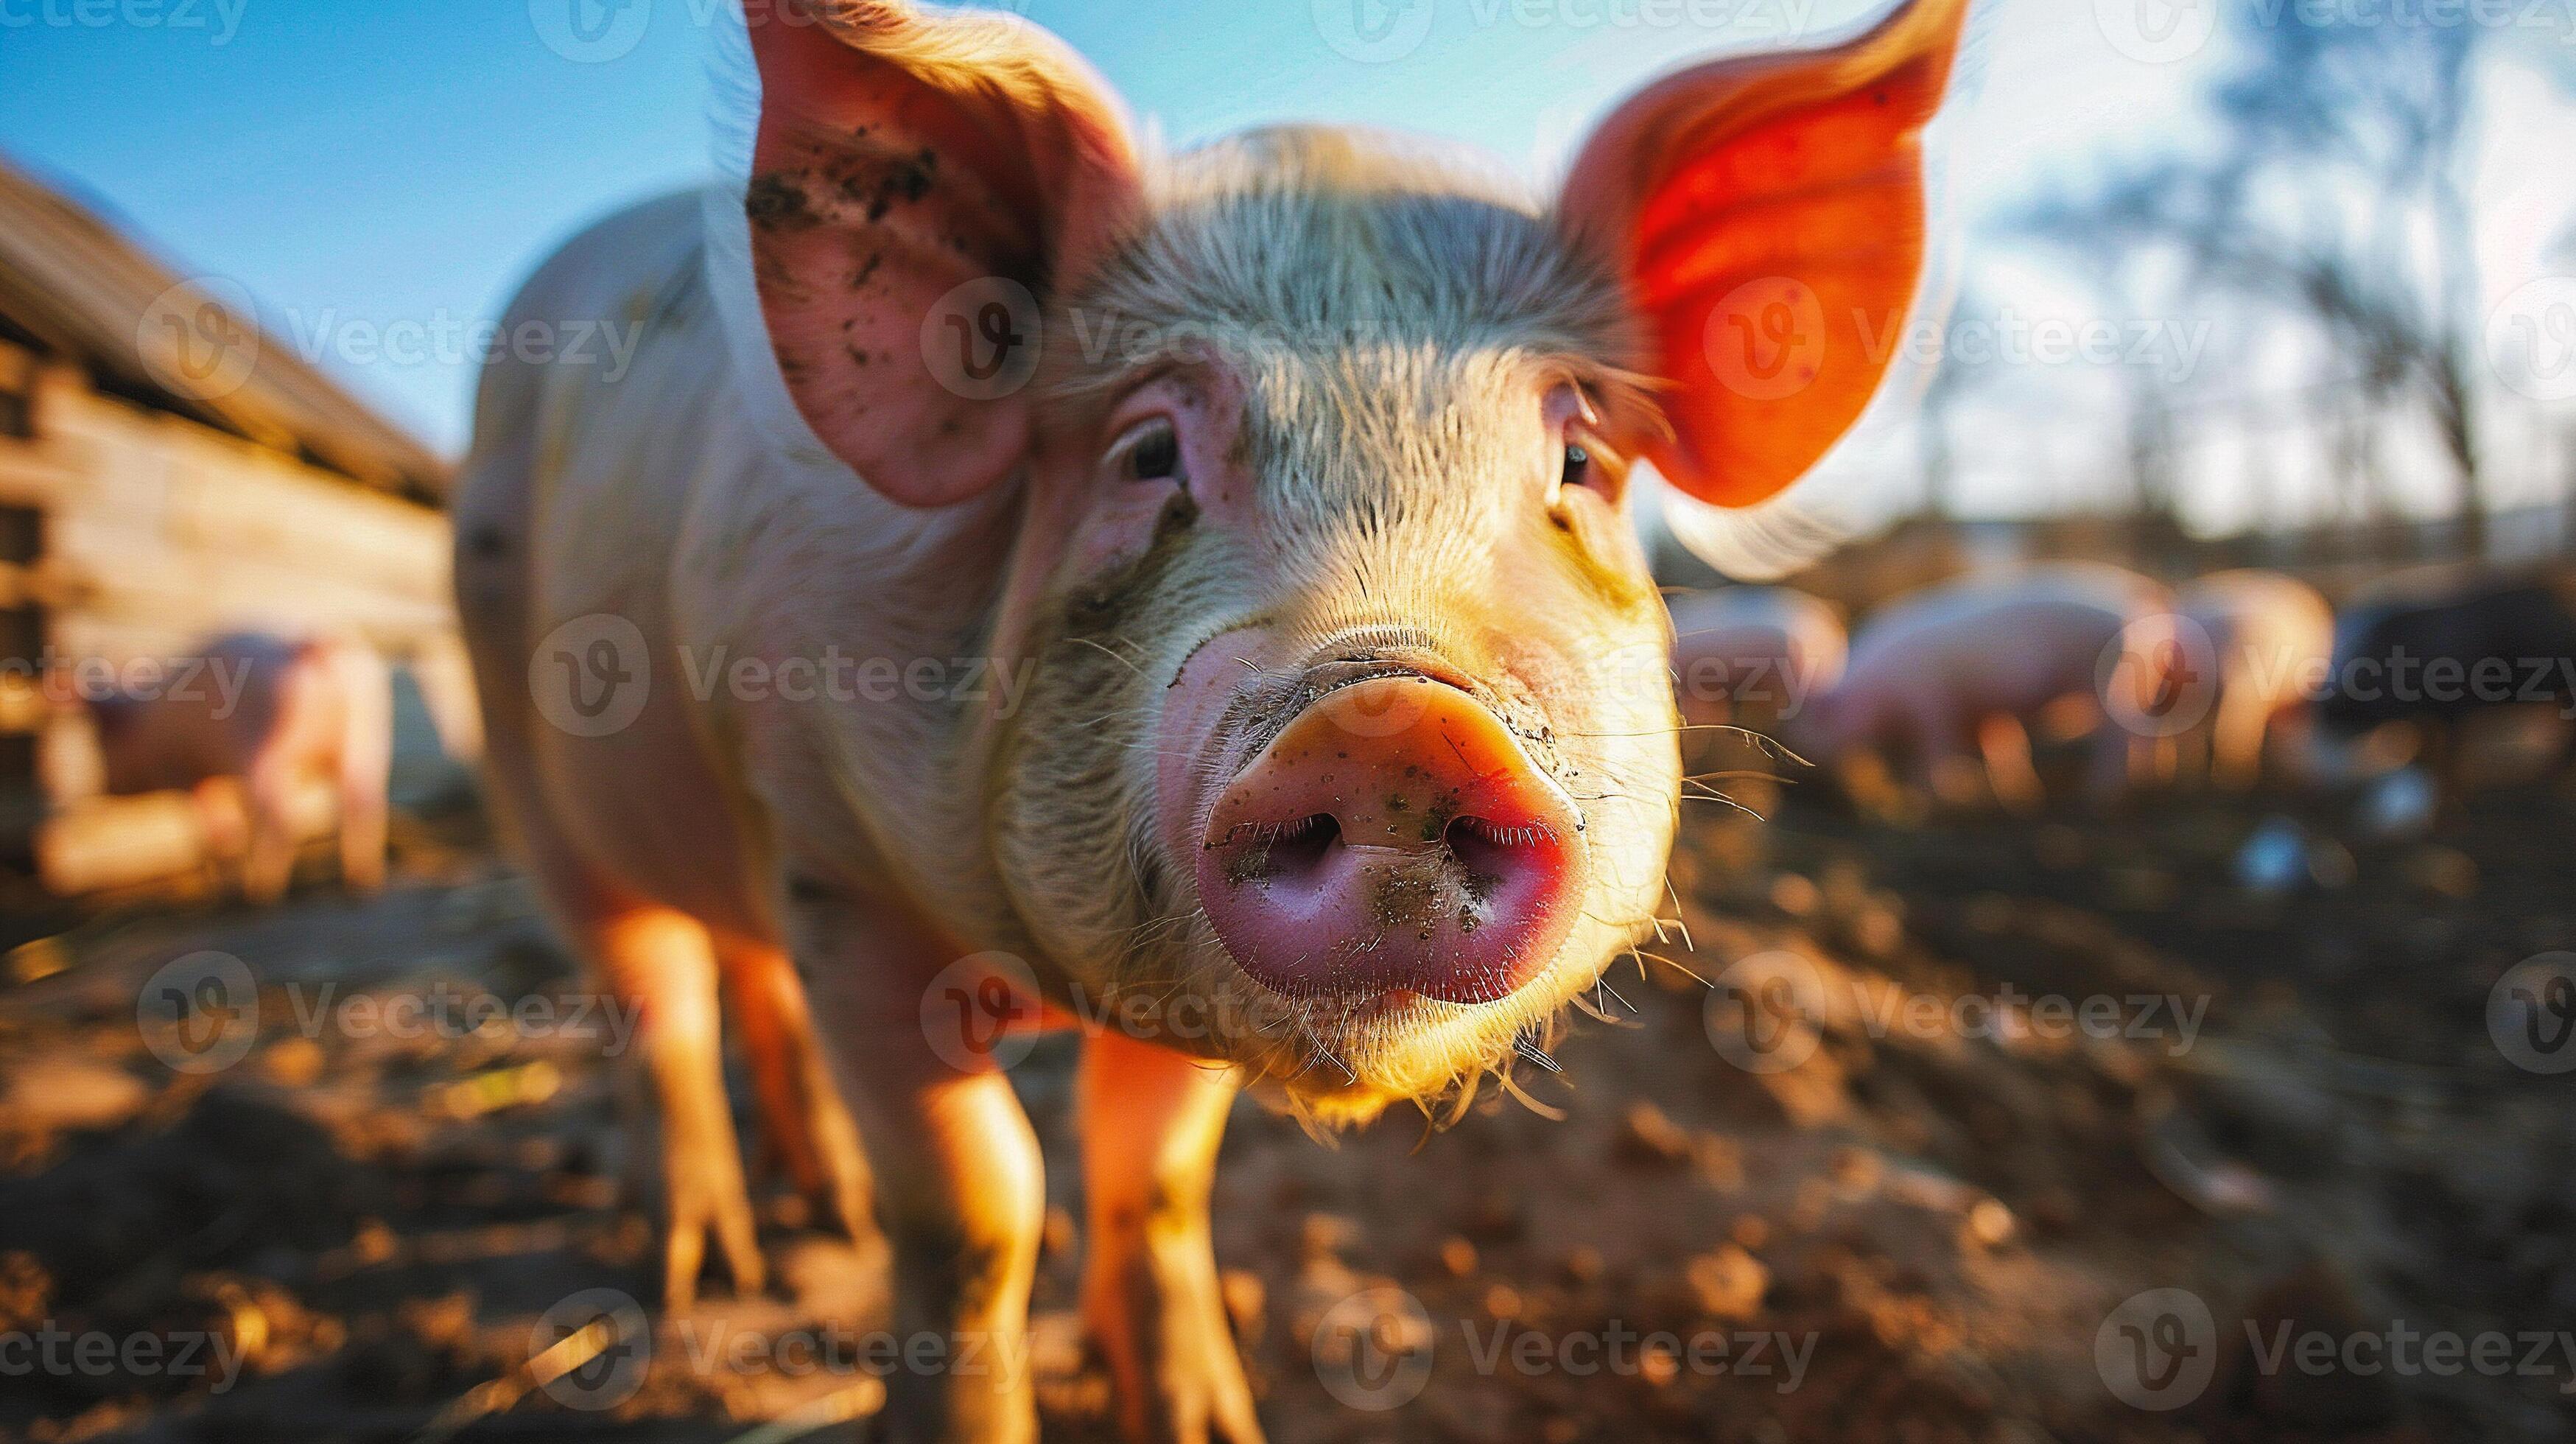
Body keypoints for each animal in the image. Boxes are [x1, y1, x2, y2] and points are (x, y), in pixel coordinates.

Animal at [78, 632, 391, 903]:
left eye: (98, 738)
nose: (100, 789)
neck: (142, 725)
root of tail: (311, 645)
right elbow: (234, 826)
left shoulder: (181, 774)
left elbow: (213, 832)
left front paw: (222, 893)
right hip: (365, 734)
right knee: (363, 806)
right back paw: (362, 881)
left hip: (264, 751)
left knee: (280, 821)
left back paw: (260, 895)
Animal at [1795, 562, 2177, 810]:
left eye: (1820, 722)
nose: (1814, 788)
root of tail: (2139, 594)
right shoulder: (1984, 712)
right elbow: (2002, 747)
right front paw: (2012, 795)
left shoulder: (1930, 704)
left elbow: (1936, 749)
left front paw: (1934, 796)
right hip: (2142, 683)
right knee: (2145, 729)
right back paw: (2149, 782)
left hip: (2110, 677)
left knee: (2116, 736)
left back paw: (2097, 795)